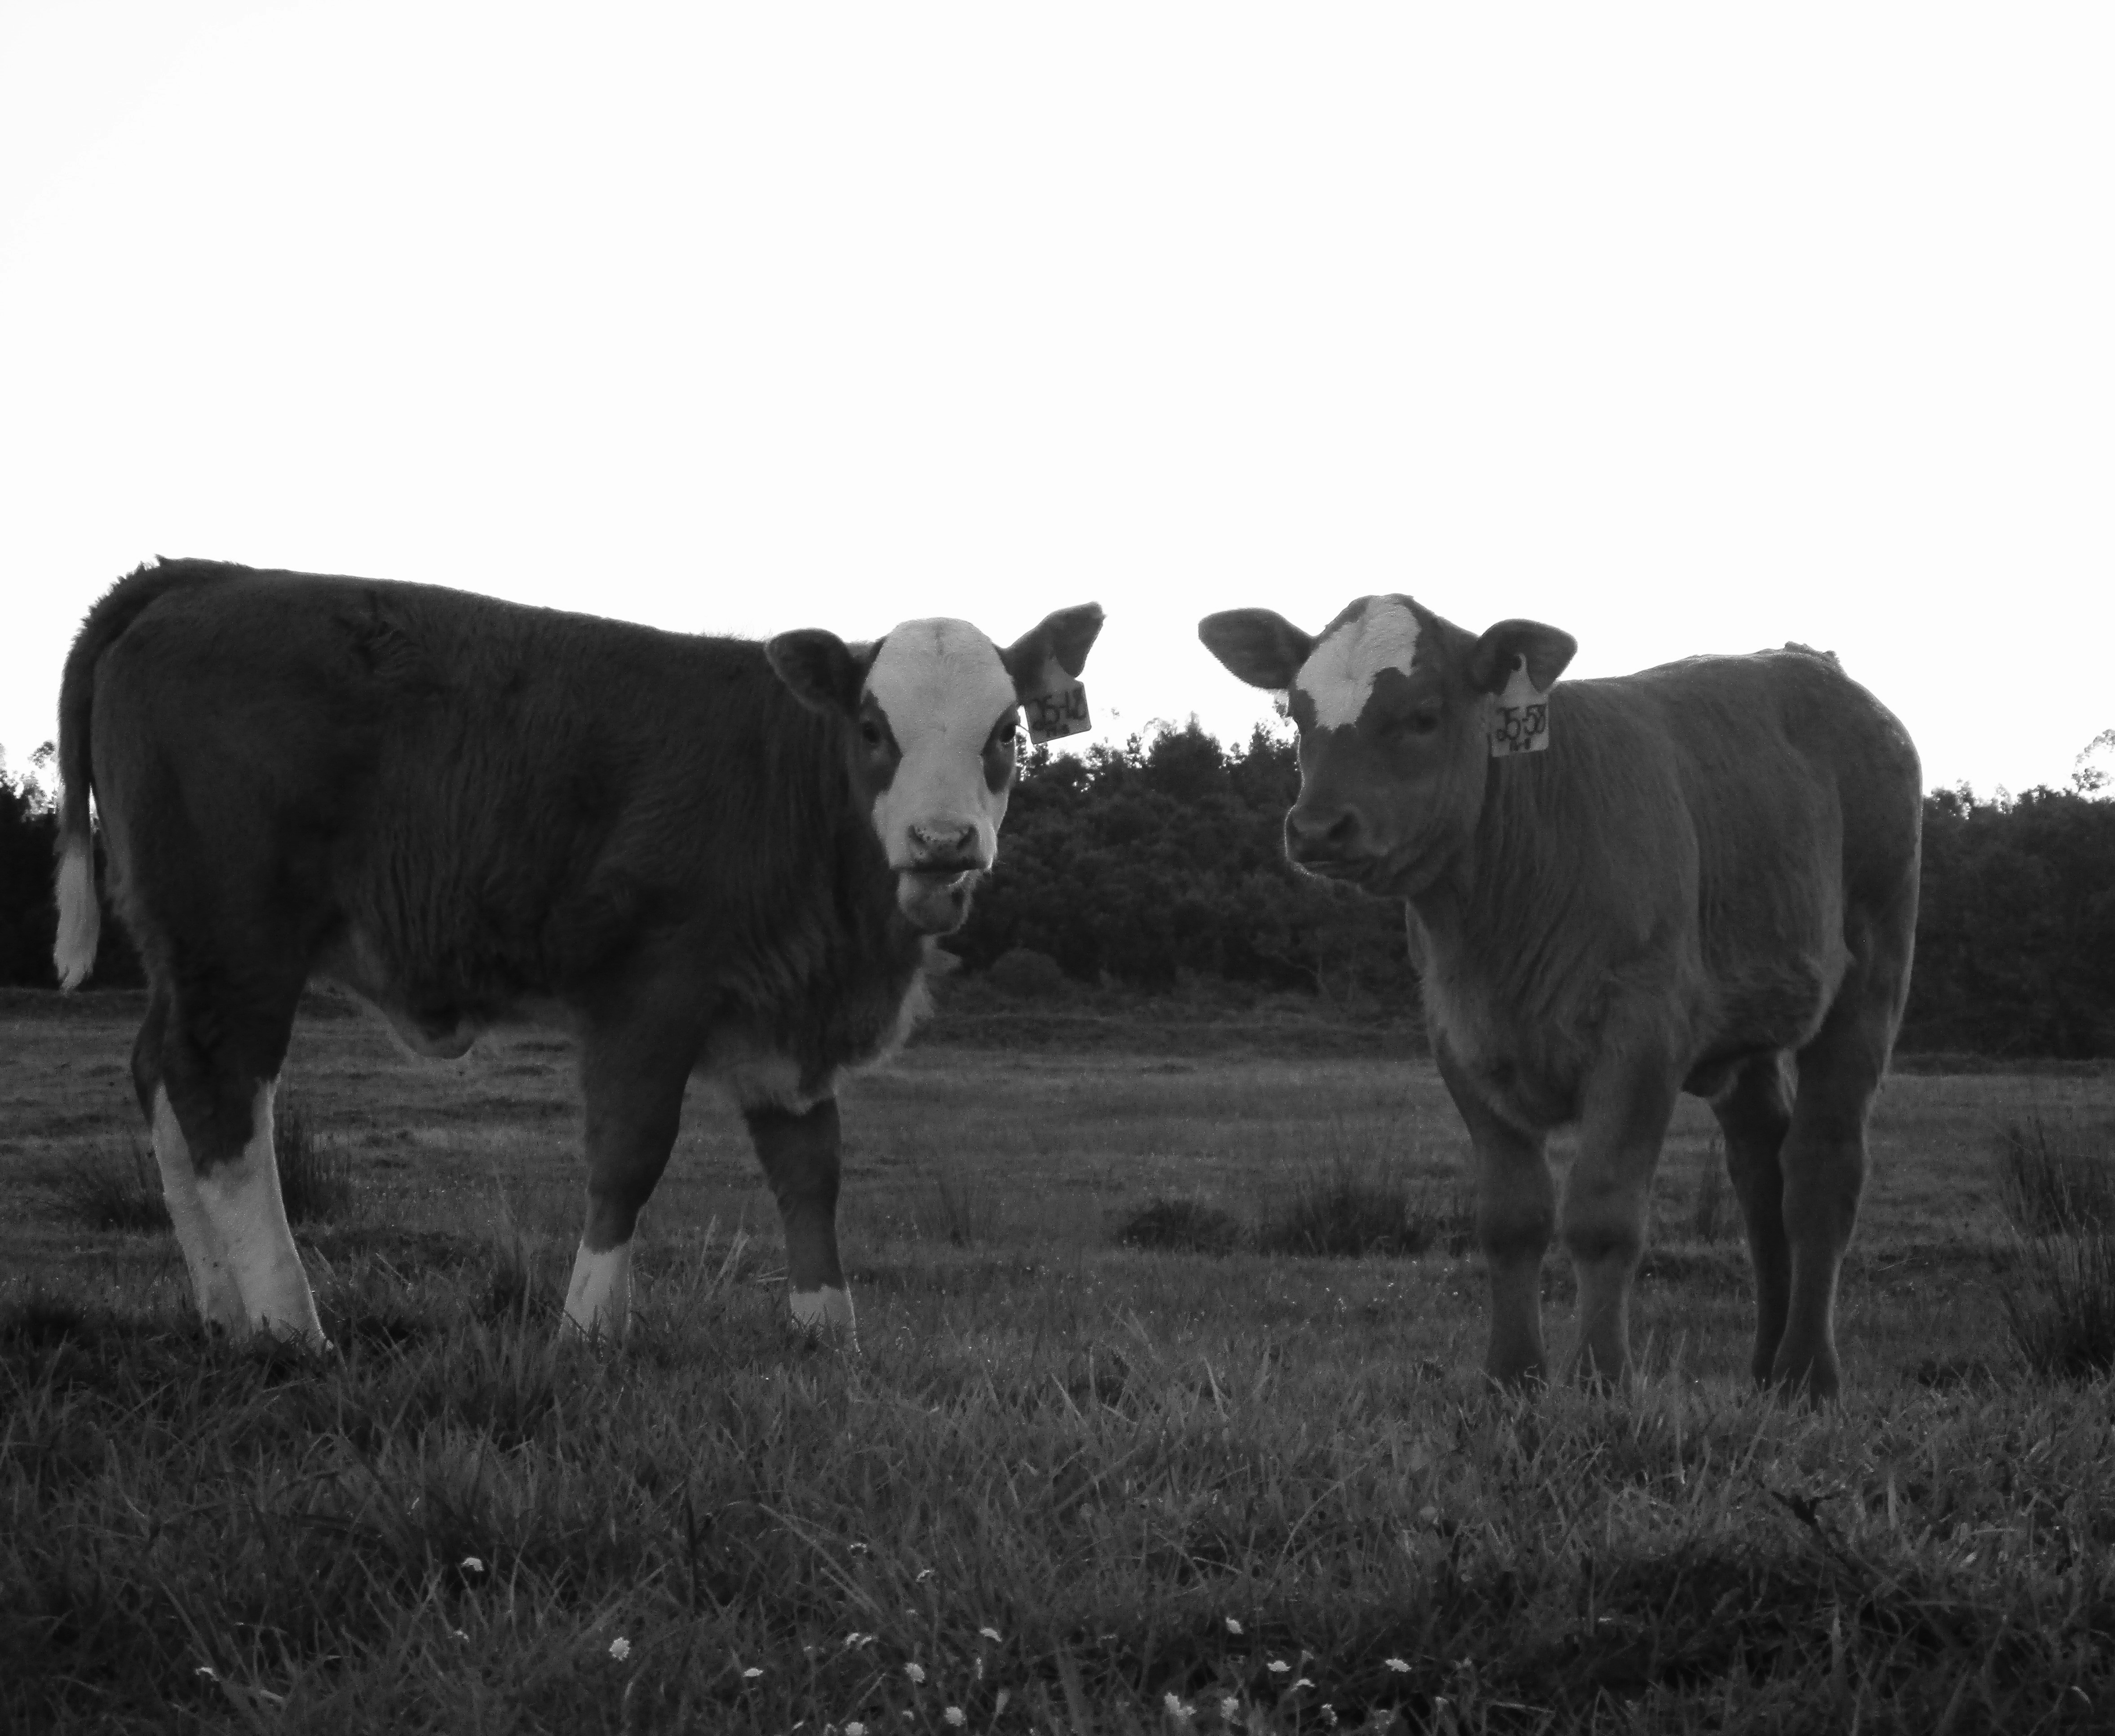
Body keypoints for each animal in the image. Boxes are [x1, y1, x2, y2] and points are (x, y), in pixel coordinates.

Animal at [52, 559, 1102, 1351]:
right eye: (874, 728)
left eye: (1003, 732)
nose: (943, 841)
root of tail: (205, 576)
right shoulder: (649, 992)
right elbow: (627, 1157)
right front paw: (589, 1326)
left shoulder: (786, 1008)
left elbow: (810, 1169)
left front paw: (824, 1331)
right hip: (238, 939)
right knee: (223, 1096)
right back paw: (288, 1325)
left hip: (184, 946)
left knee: (163, 1082)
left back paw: (222, 1315)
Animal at [1199, 594, 1920, 1401]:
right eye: (1296, 713)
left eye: (1422, 715)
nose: (1318, 827)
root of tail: (1816, 667)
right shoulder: (1459, 1037)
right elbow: (1511, 1217)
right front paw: (1511, 1374)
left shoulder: (1643, 1031)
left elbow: (1602, 1213)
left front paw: (1602, 1375)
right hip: (1748, 1020)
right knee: (1760, 1171)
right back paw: (1765, 1365)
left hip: (1874, 963)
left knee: (1821, 1167)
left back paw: (1805, 1372)